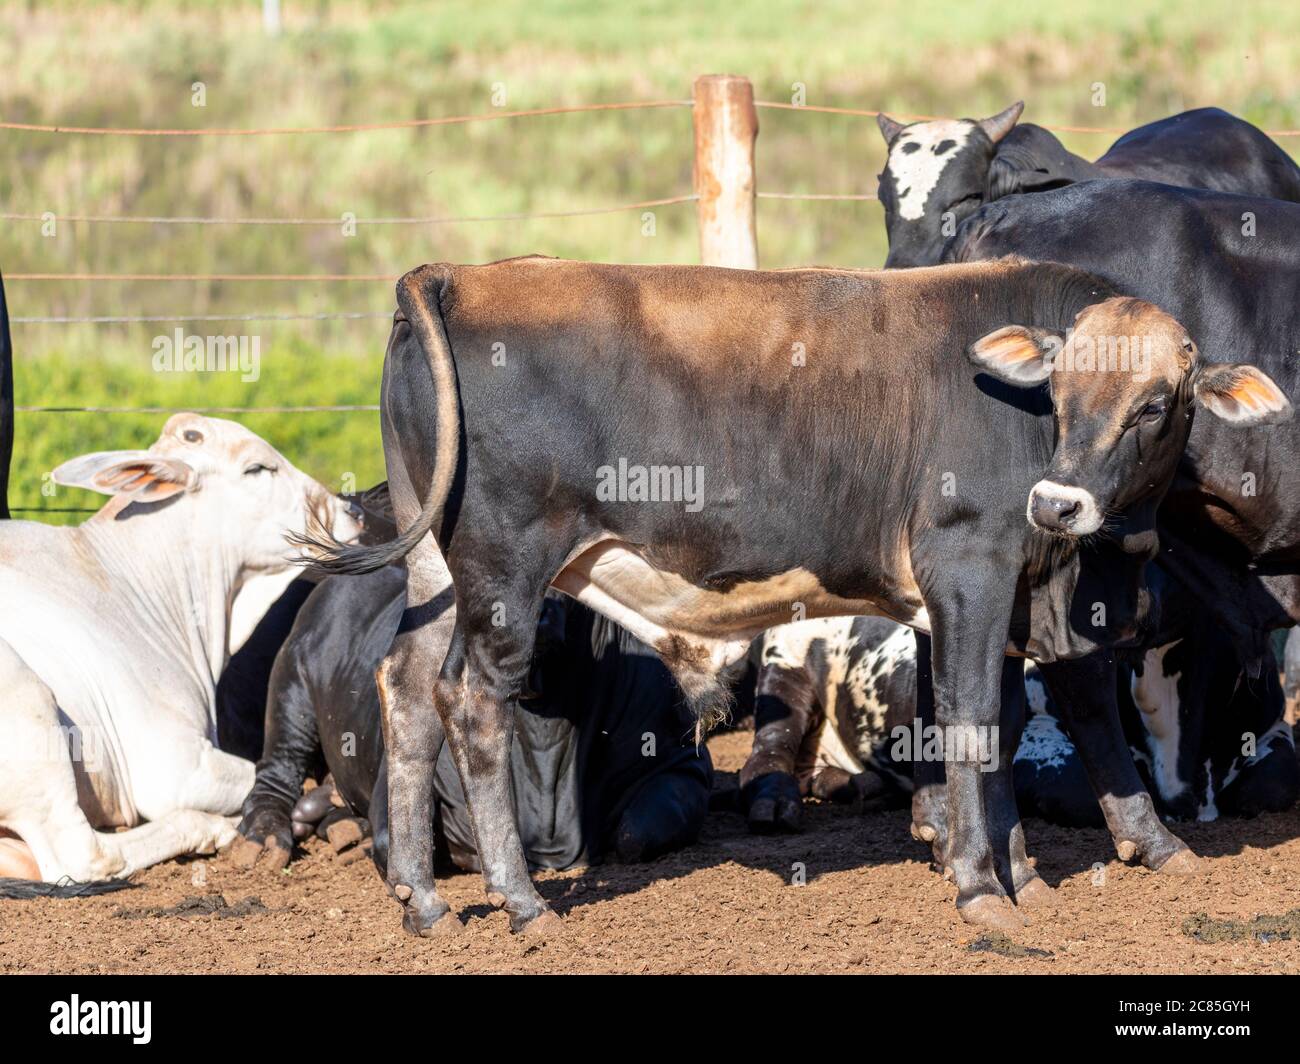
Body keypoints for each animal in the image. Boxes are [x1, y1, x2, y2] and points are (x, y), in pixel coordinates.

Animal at [0, 414, 363, 894]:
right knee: (84, 856)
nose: (352, 513)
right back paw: (214, 829)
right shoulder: (176, 768)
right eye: (256, 468)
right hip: (29, 700)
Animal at [737, 611, 1295, 835]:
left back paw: (854, 785)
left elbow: (1275, 781)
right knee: (770, 746)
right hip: (787, 663)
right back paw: (774, 802)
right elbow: (1085, 792)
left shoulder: (1268, 724)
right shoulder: (1036, 732)